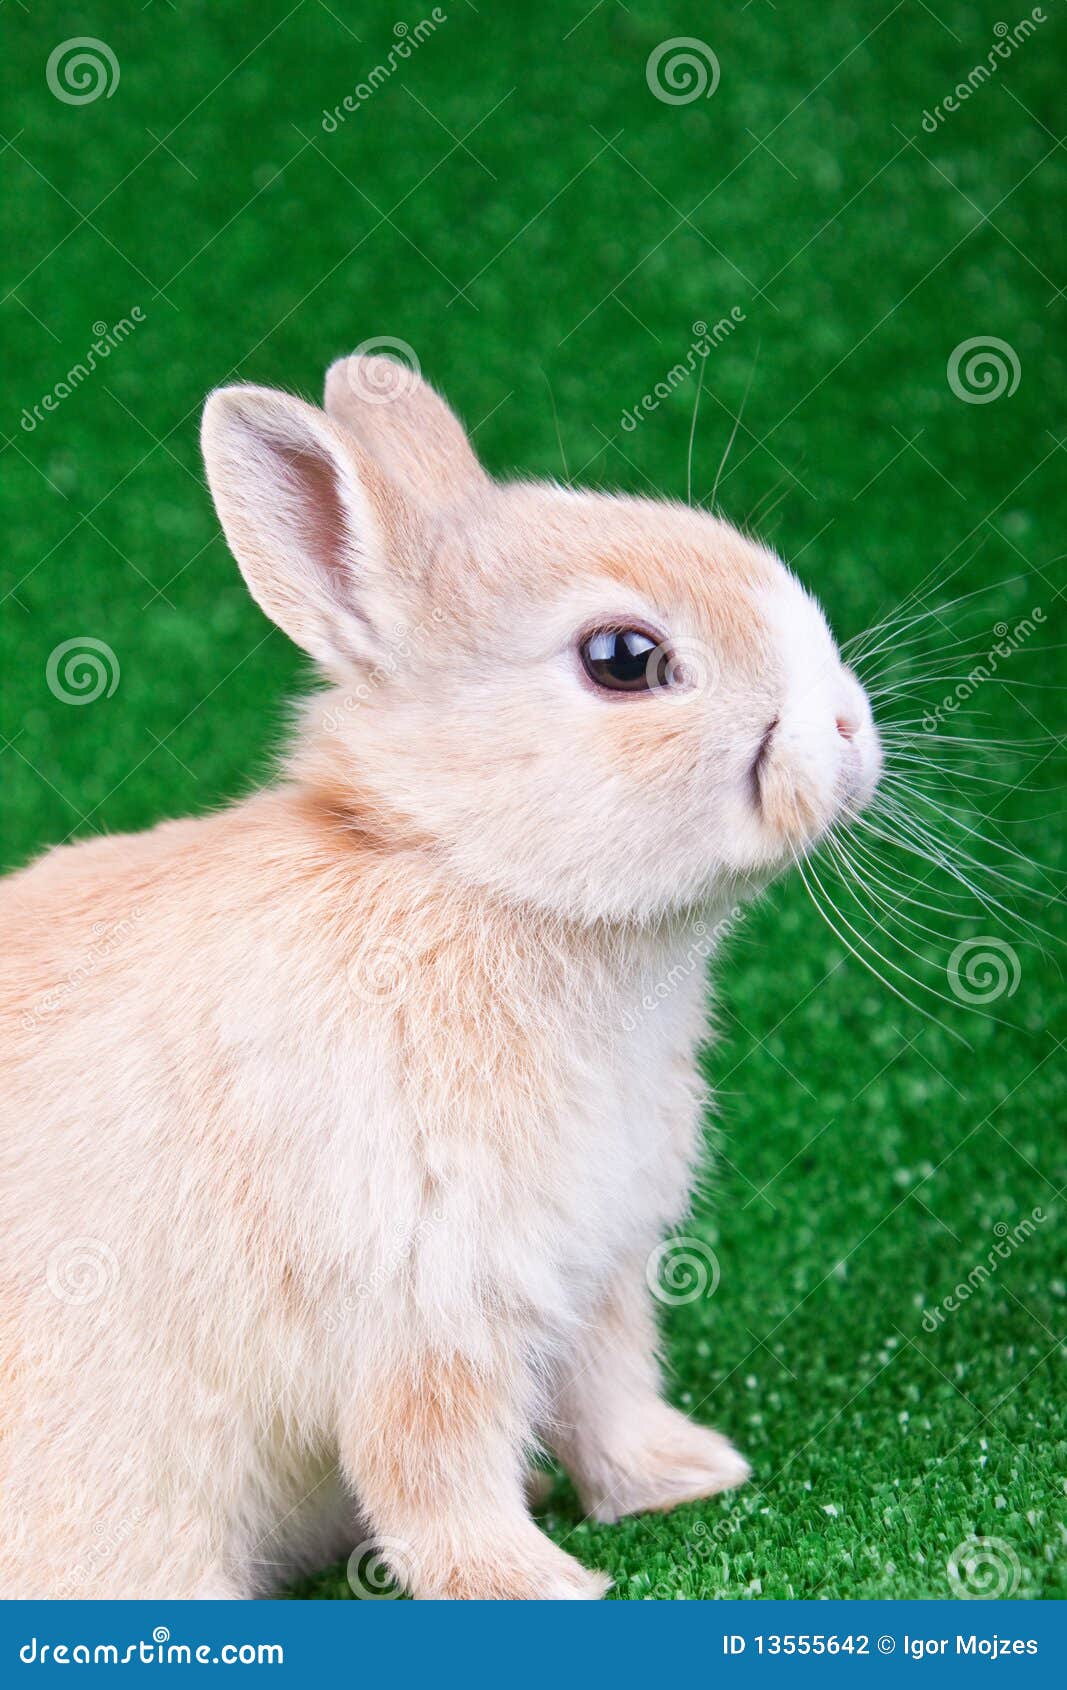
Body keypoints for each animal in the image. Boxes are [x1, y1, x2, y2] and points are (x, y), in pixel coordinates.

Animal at [0, 352, 881, 1600]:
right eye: (623, 660)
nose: (850, 729)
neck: (465, 874)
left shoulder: (595, 1272)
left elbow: (608, 1390)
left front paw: (682, 1479)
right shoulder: (426, 1298)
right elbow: (433, 1462)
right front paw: (537, 1584)